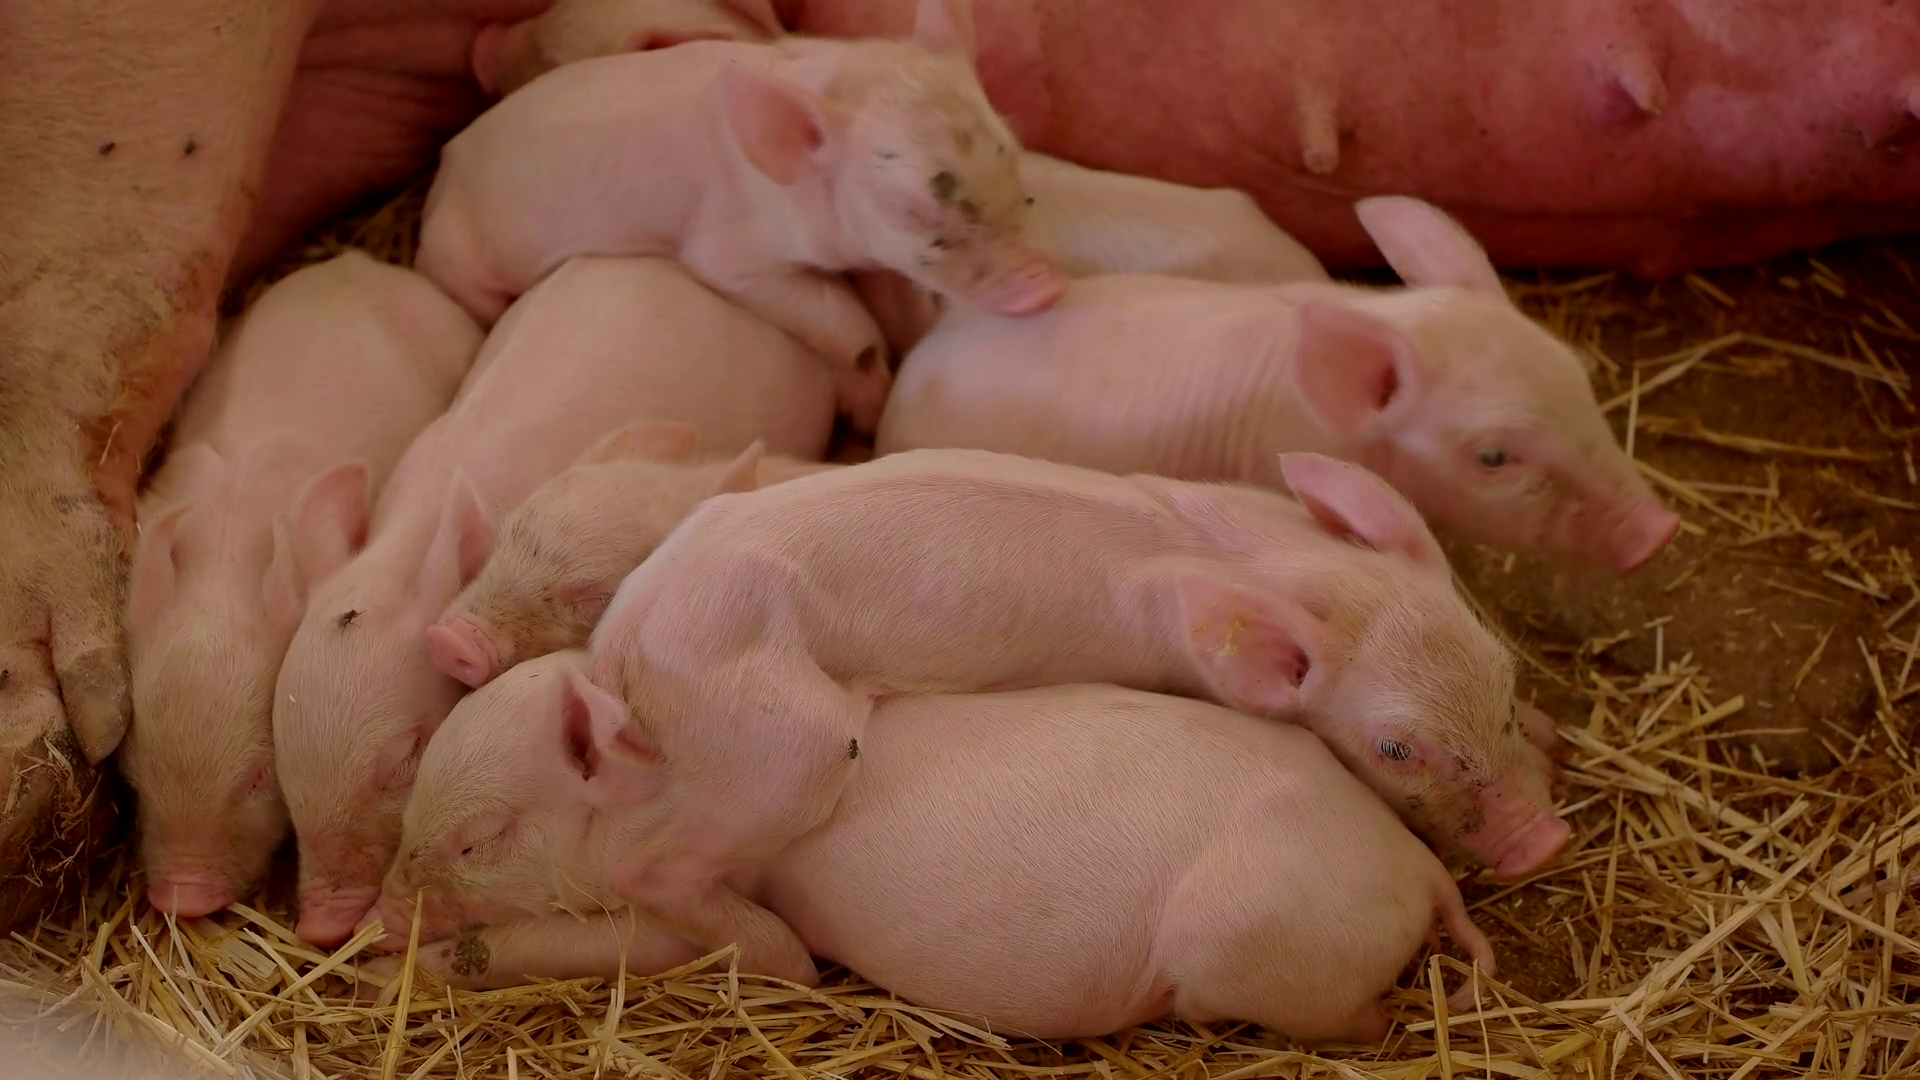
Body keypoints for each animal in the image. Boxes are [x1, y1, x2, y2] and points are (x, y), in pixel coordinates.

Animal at [368, 670, 1497, 1045]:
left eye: (478, 838)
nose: (378, 917)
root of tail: (1416, 871)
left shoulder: (722, 906)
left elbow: (738, 952)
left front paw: (440, 963)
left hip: (1251, 942)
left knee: (1359, 1022)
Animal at [574, 448, 1559, 985]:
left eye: (1505, 679)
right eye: (1395, 747)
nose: (1542, 841)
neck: (1280, 561)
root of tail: (617, 644)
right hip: (785, 739)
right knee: (647, 869)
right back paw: (796, 964)